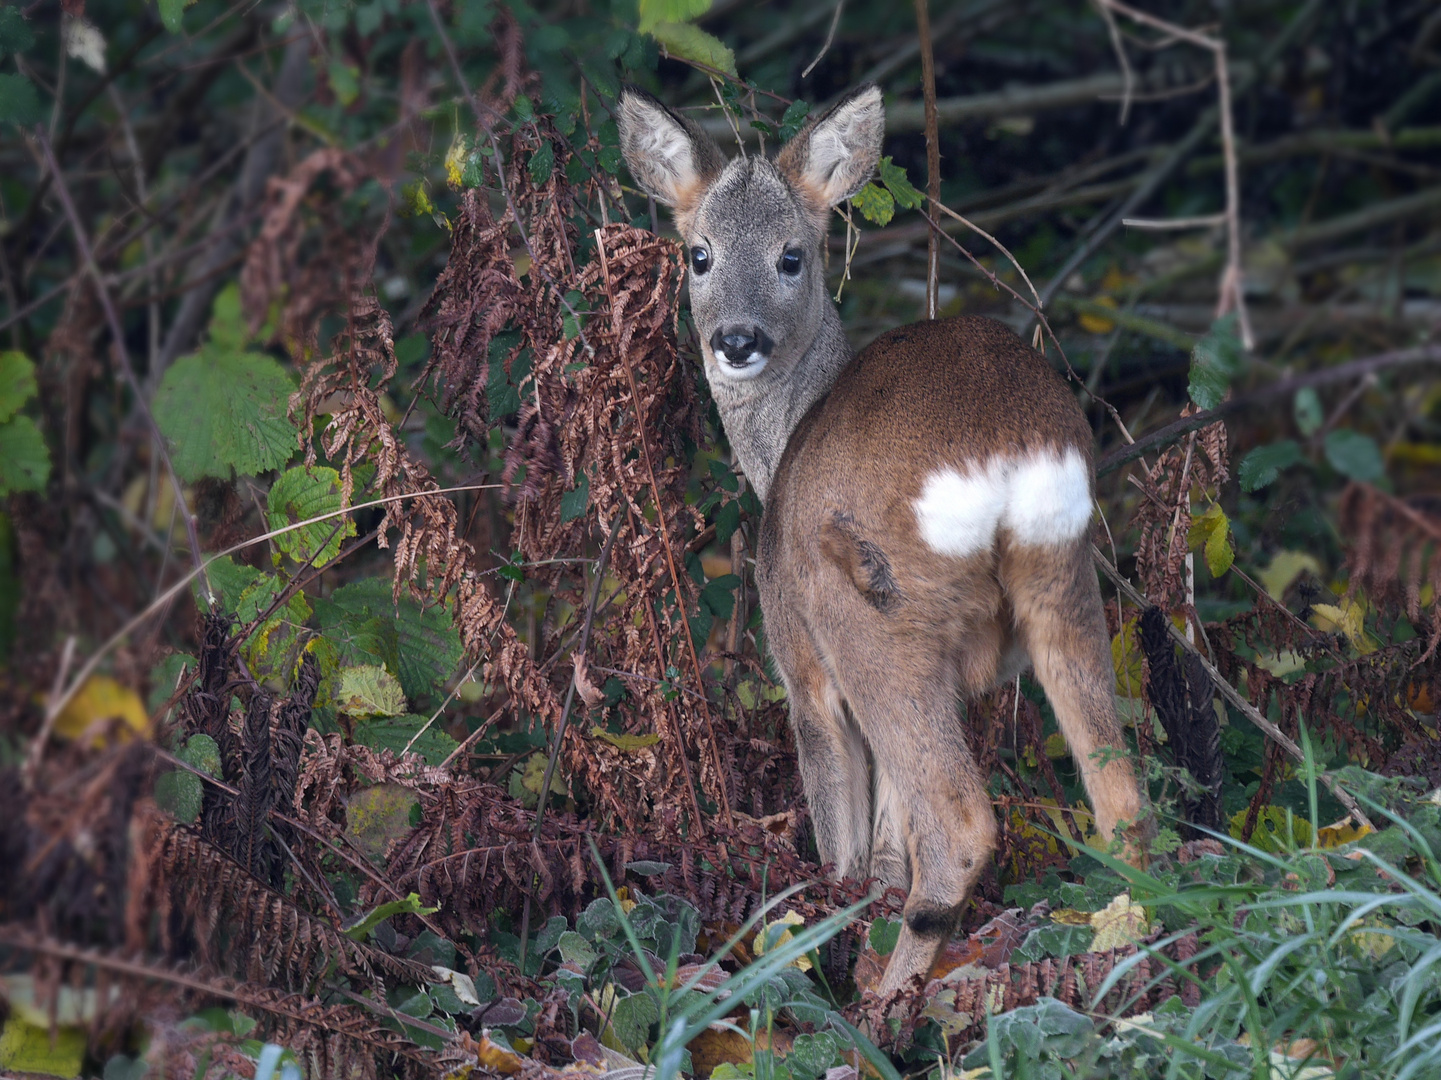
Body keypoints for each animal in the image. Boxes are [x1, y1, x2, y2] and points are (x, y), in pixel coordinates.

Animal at [616, 82, 1149, 993]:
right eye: (699, 254)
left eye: (793, 256)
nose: (736, 341)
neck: (781, 446)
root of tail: (1003, 452)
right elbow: (890, 845)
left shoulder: (799, 659)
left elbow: (847, 846)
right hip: (1062, 576)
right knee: (1119, 798)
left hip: (869, 614)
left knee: (961, 821)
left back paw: (884, 1002)